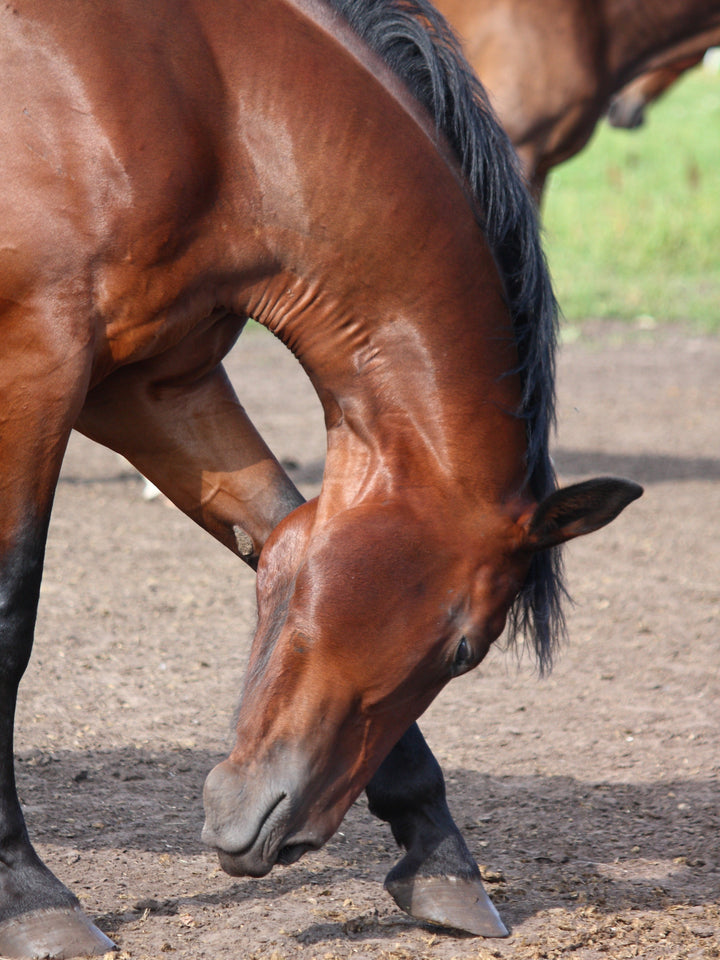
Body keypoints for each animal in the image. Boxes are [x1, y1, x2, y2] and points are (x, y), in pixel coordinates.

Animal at [0, 0, 642, 956]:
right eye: (465, 649)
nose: (263, 825)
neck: (208, 100)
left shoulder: (150, 385)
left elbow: (272, 526)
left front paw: (439, 854)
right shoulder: (35, 365)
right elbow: (9, 624)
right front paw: (28, 892)